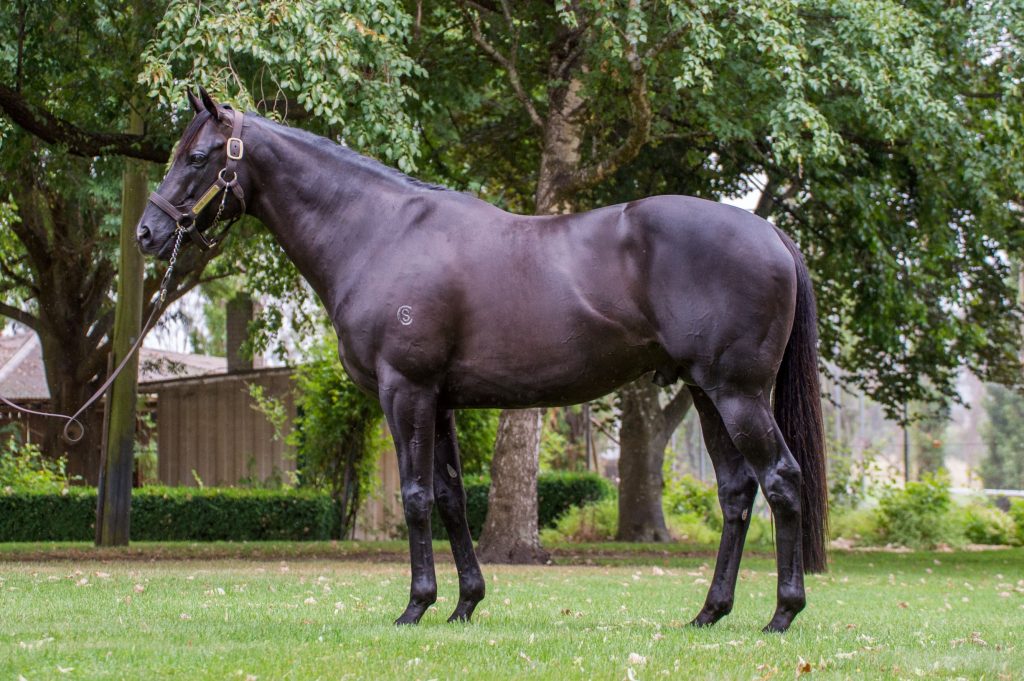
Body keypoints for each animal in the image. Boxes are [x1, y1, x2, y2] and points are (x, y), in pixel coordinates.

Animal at [137, 89, 827, 633]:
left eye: (197, 157)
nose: (148, 233)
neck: (379, 232)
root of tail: (770, 233)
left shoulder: (405, 390)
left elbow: (416, 495)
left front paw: (416, 606)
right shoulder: (438, 400)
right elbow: (450, 497)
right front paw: (464, 604)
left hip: (739, 394)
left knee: (782, 481)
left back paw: (781, 614)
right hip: (709, 394)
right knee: (737, 493)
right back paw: (710, 612)